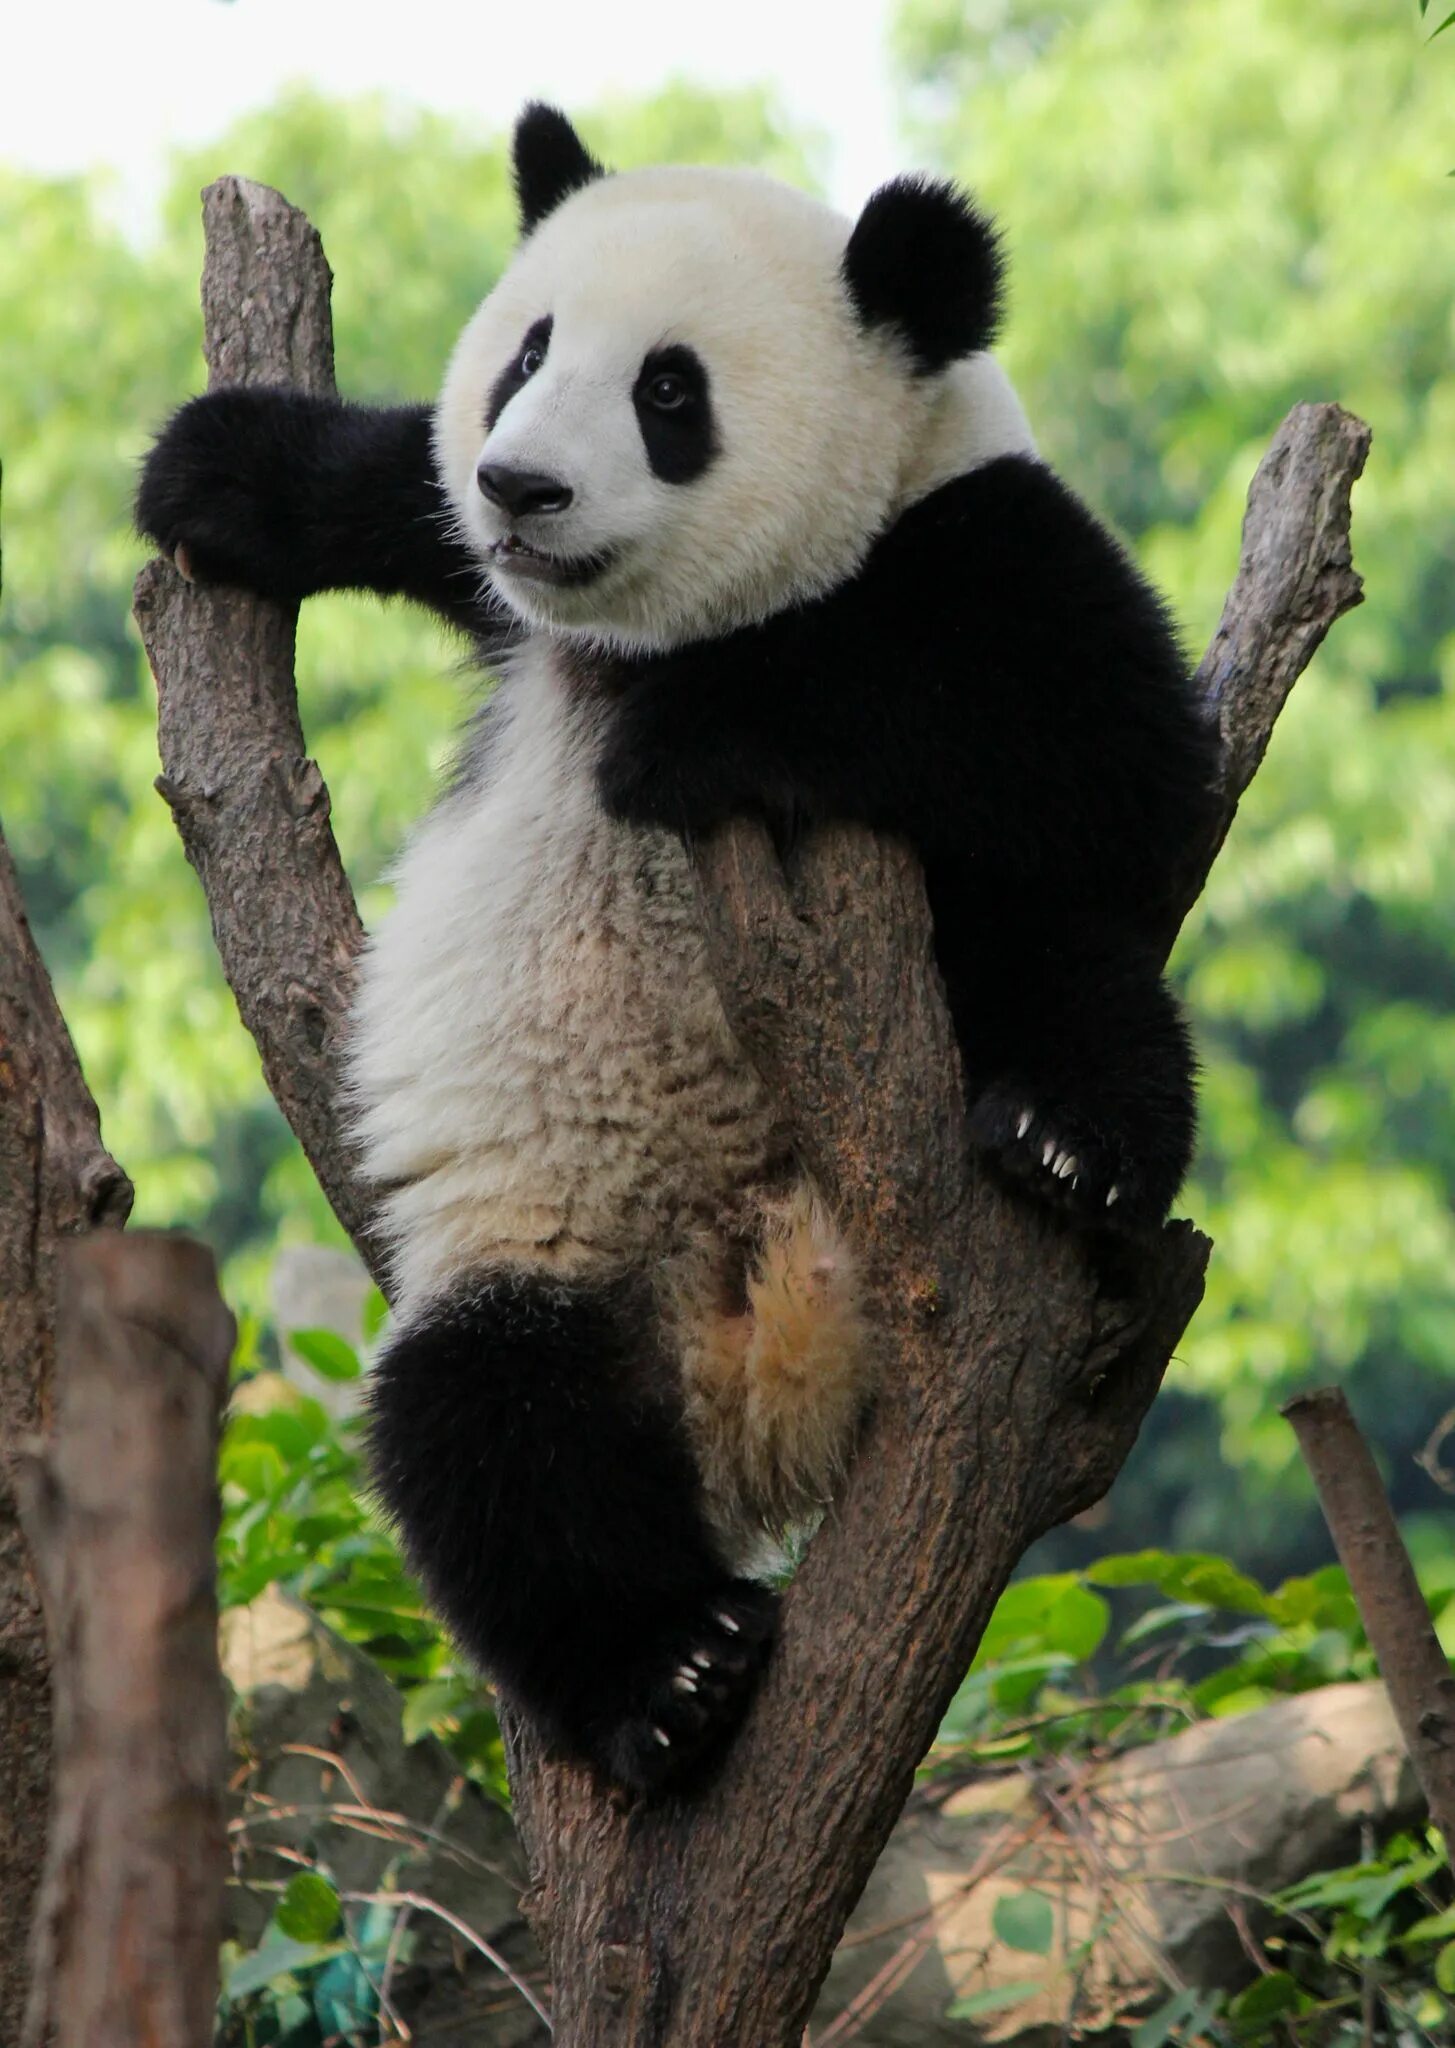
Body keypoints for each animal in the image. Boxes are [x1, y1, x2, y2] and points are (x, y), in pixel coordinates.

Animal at [138, 104, 1217, 1794]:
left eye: (666, 391)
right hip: (559, 1265)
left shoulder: (984, 549)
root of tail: (772, 1360)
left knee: (1077, 980)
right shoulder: (513, 603)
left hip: (978, 980)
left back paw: (1065, 1142)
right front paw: (219, 466)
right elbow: (401, 501)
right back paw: (673, 1671)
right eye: (526, 352)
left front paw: (683, 737)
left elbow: (1112, 752)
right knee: (489, 1430)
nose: (521, 486)